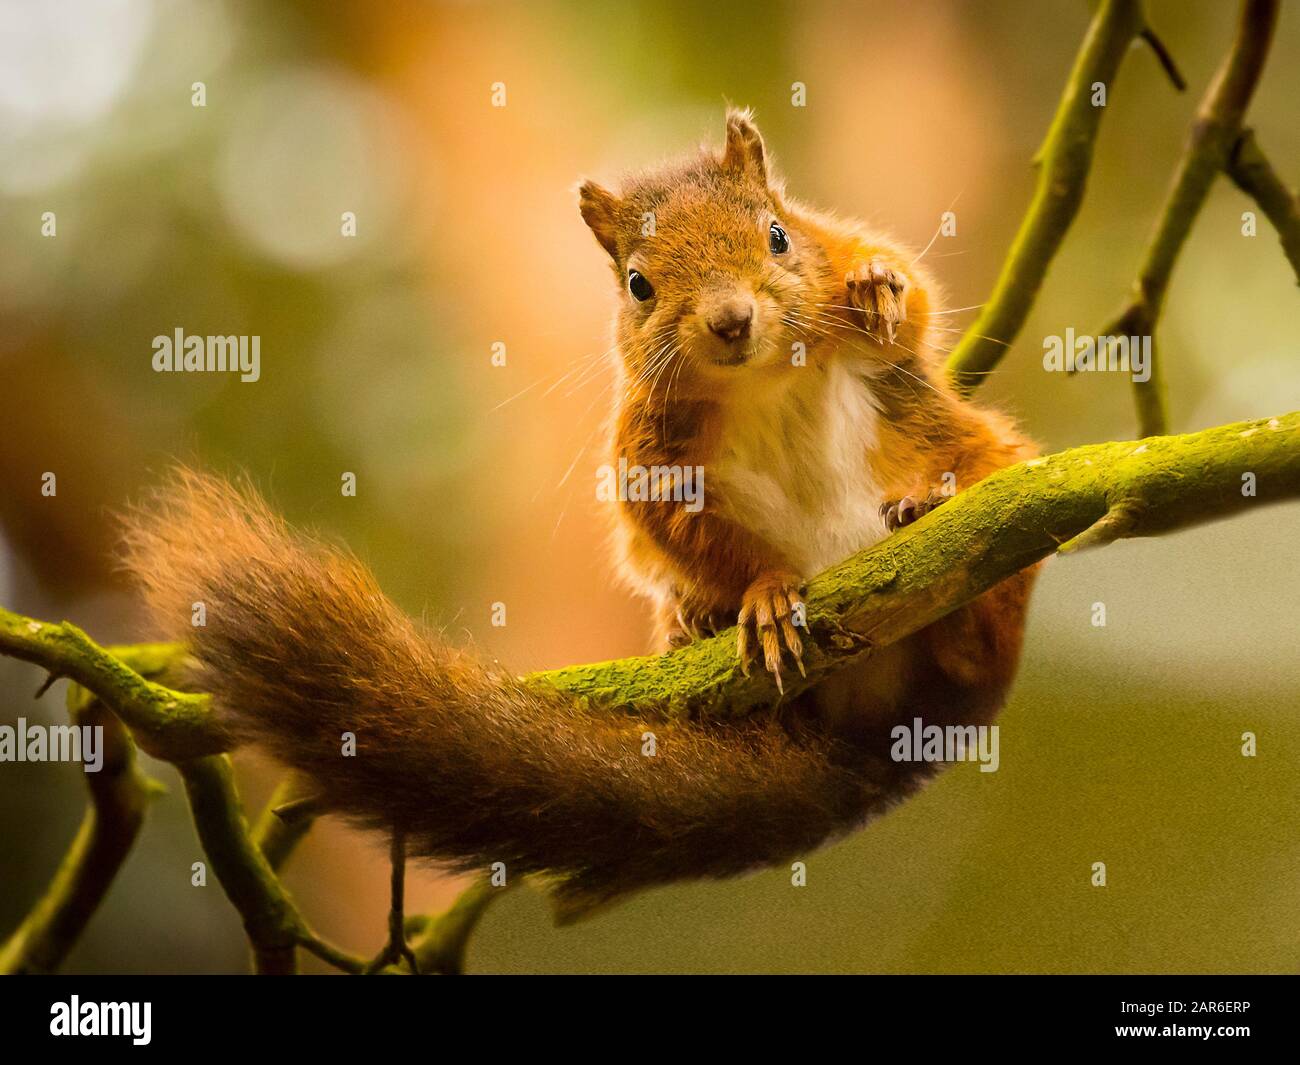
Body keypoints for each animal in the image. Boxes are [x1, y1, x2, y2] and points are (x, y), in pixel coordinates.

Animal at [121, 109, 1037, 920]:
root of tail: (893, 737)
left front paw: (880, 289)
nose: (731, 319)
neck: (762, 378)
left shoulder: (856, 292)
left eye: (779, 236)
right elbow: (692, 536)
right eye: (638, 284)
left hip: (993, 472)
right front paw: (765, 595)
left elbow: (911, 308)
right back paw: (696, 619)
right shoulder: (651, 462)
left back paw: (936, 529)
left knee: (979, 628)